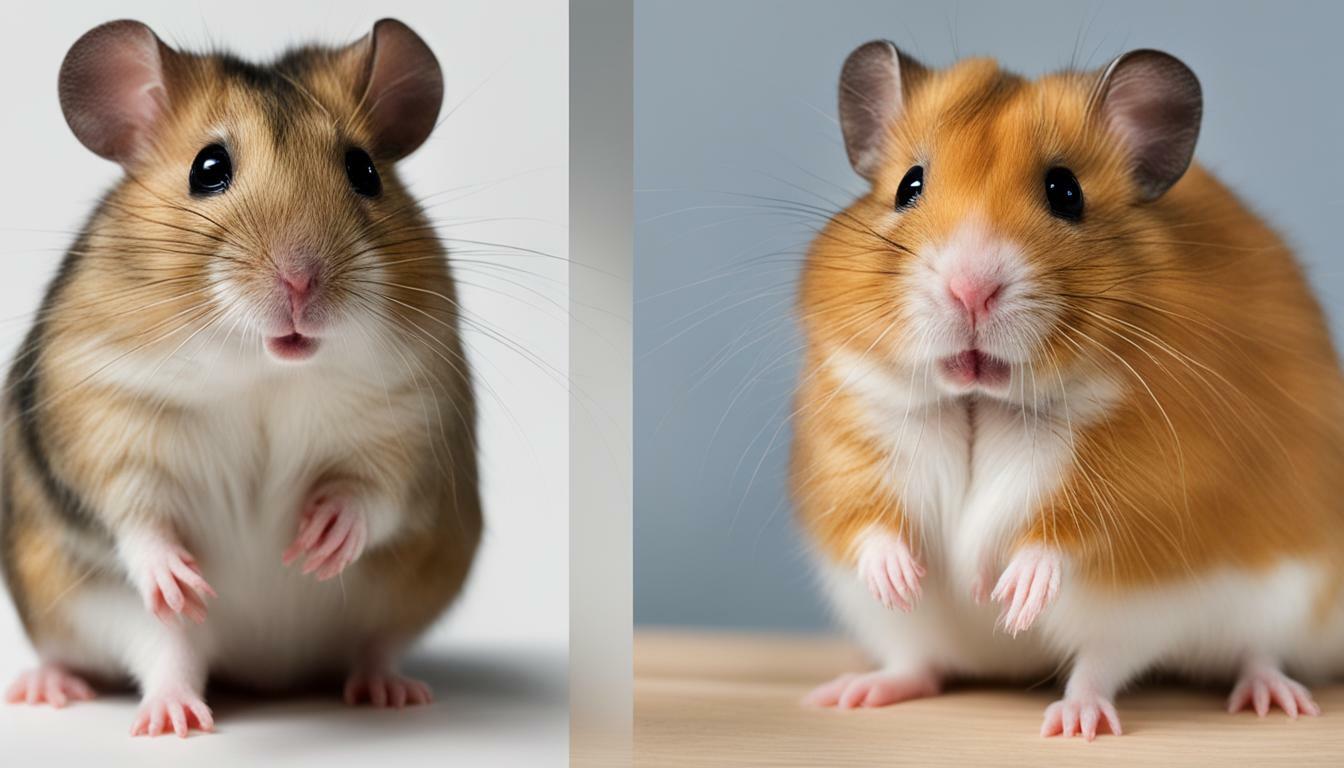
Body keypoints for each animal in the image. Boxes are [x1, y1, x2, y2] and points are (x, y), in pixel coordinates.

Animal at [0, 19, 481, 737]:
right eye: (208, 168)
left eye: (364, 171)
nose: (301, 283)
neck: (264, 374)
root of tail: (265, 675)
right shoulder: (99, 414)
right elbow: (135, 513)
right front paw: (181, 579)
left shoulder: (414, 416)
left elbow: (373, 492)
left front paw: (317, 543)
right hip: (92, 607)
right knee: (163, 652)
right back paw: (123, 708)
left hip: (395, 599)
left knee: (373, 647)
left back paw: (392, 691)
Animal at [793, 40, 1344, 739]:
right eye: (908, 186)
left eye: (1066, 191)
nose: (969, 289)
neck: (980, 401)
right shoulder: (853, 437)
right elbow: (868, 520)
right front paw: (909, 580)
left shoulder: (1139, 492)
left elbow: (1062, 535)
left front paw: (1006, 596)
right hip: (906, 631)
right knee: (918, 662)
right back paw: (852, 693)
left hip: (1207, 609)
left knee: (1144, 663)